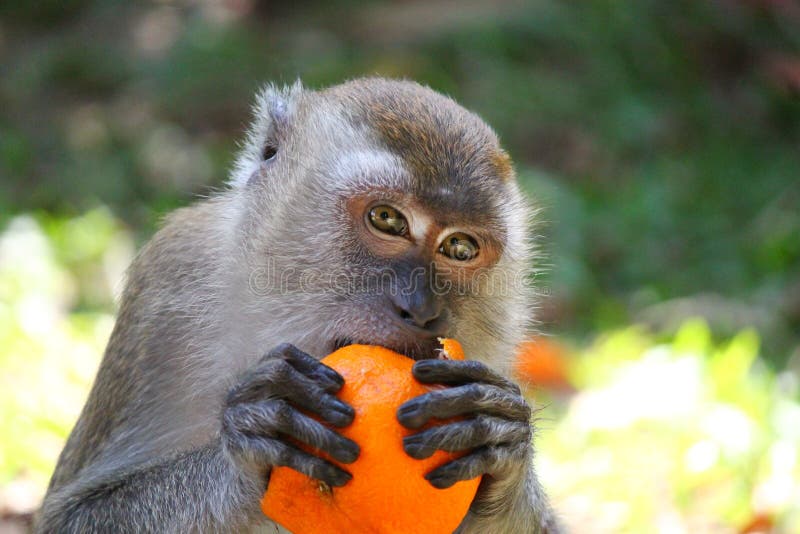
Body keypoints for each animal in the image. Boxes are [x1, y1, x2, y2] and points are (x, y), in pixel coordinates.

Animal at [37, 78, 561, 533]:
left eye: (459, 248)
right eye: (387, 219)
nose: (420, 310)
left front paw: (500, 443)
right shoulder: (166, 293)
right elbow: (72, 517)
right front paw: (250, 446)